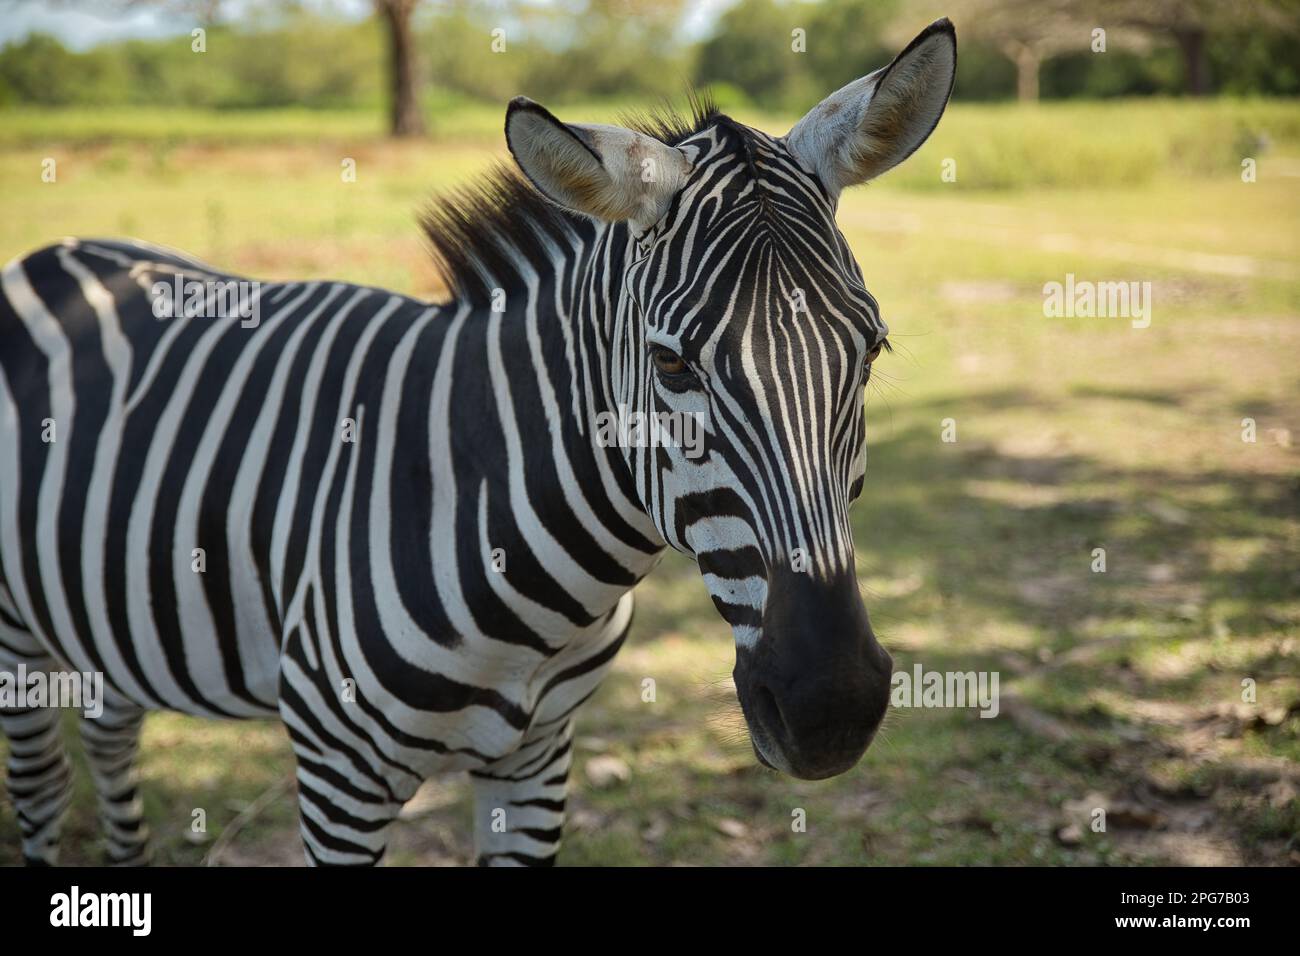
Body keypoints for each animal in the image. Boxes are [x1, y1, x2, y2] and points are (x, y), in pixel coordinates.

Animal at [0, 19, 955, 866]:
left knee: (110, 737)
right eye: (671, 365)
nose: (832, 707)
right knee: (42, 788)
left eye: (871, 350)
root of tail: (61, 249)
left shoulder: (538, 760)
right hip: (18, 639)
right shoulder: (337, 774)